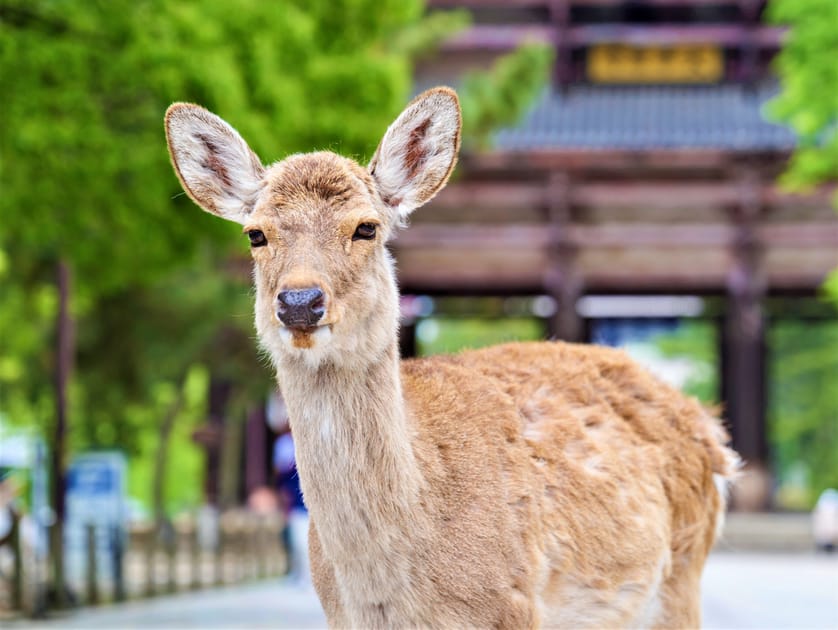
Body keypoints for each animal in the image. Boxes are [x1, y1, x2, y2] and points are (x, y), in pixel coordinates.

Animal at [165, 87, 739, 629]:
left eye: (366, 227)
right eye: (256, 234)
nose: (301, 302)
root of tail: (710, 429)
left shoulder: (513, 606)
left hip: (682, 578)